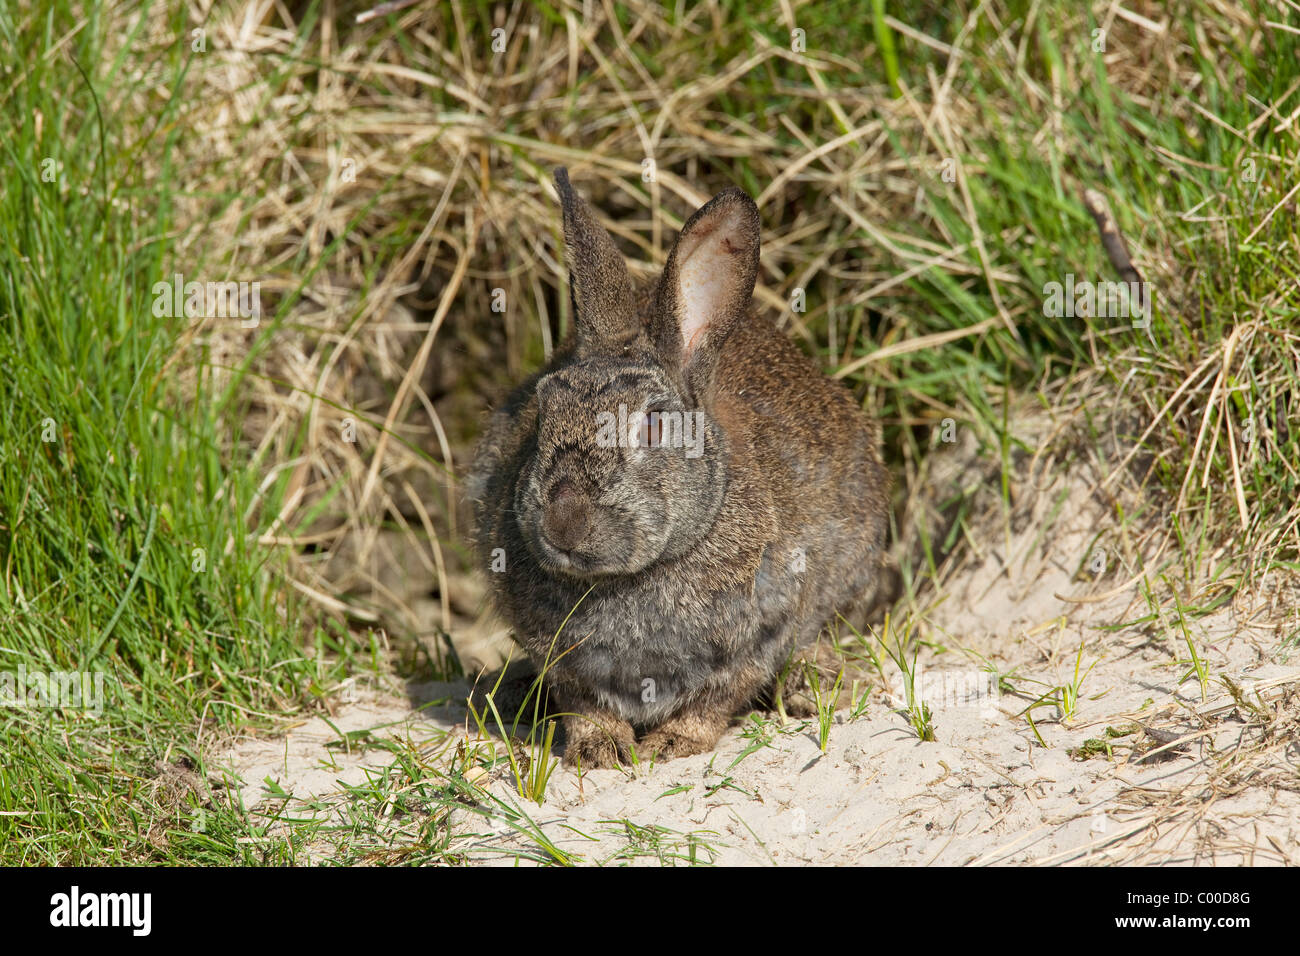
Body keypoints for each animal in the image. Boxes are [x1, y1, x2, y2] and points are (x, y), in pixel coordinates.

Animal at [466, 167, 889, 768]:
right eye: (543, 414)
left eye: (653, 426)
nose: (563, 521)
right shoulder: (557, 654)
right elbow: (583, 702)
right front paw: (599, 751)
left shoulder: (757, 636)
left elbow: (717, 697)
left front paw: (672, 745)